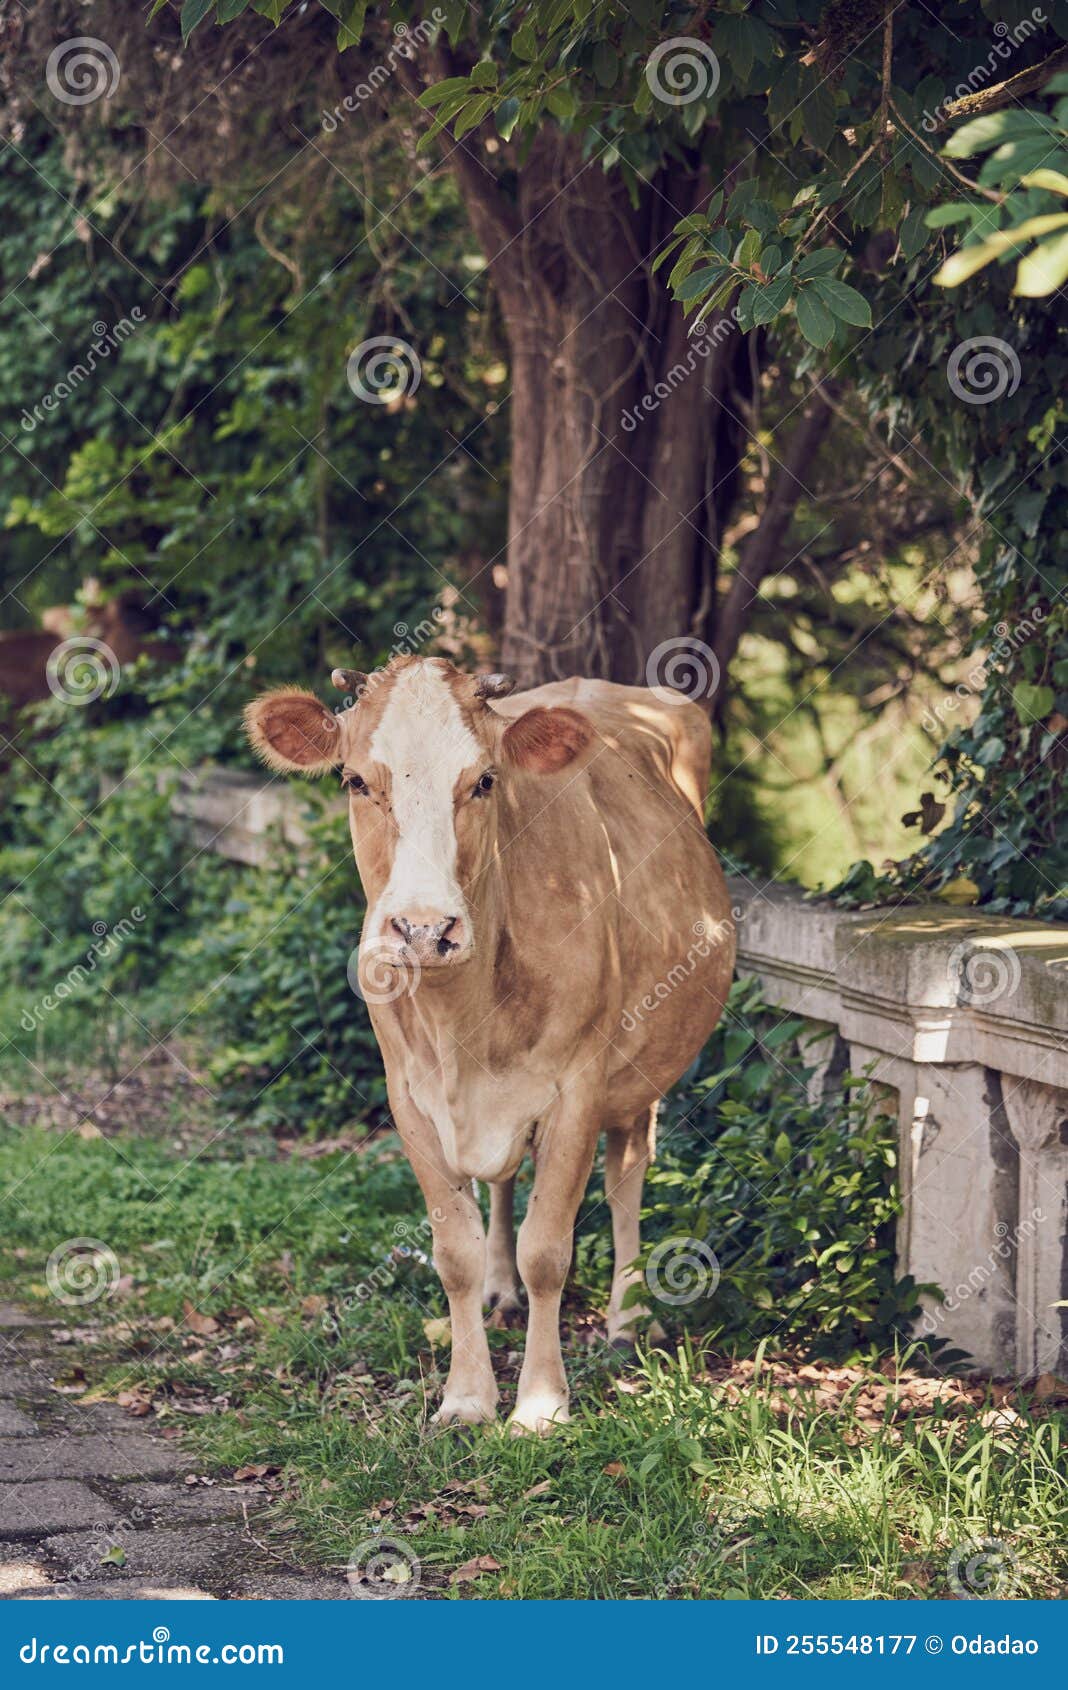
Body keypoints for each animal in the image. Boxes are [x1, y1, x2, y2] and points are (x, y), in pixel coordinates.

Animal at [245, 656, 735, 1433]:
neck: (462, 1014)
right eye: (355, 780)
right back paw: (500, 1296)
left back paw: (628, 1320)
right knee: (504, 1184)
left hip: (644, 1072)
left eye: (483, 780)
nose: (422, 929)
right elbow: (455, 1252)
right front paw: (468, 1394)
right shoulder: (409, 1097)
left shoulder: (577, 1090)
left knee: (626, 1173)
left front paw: (539, 1403)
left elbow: (549, 1250)